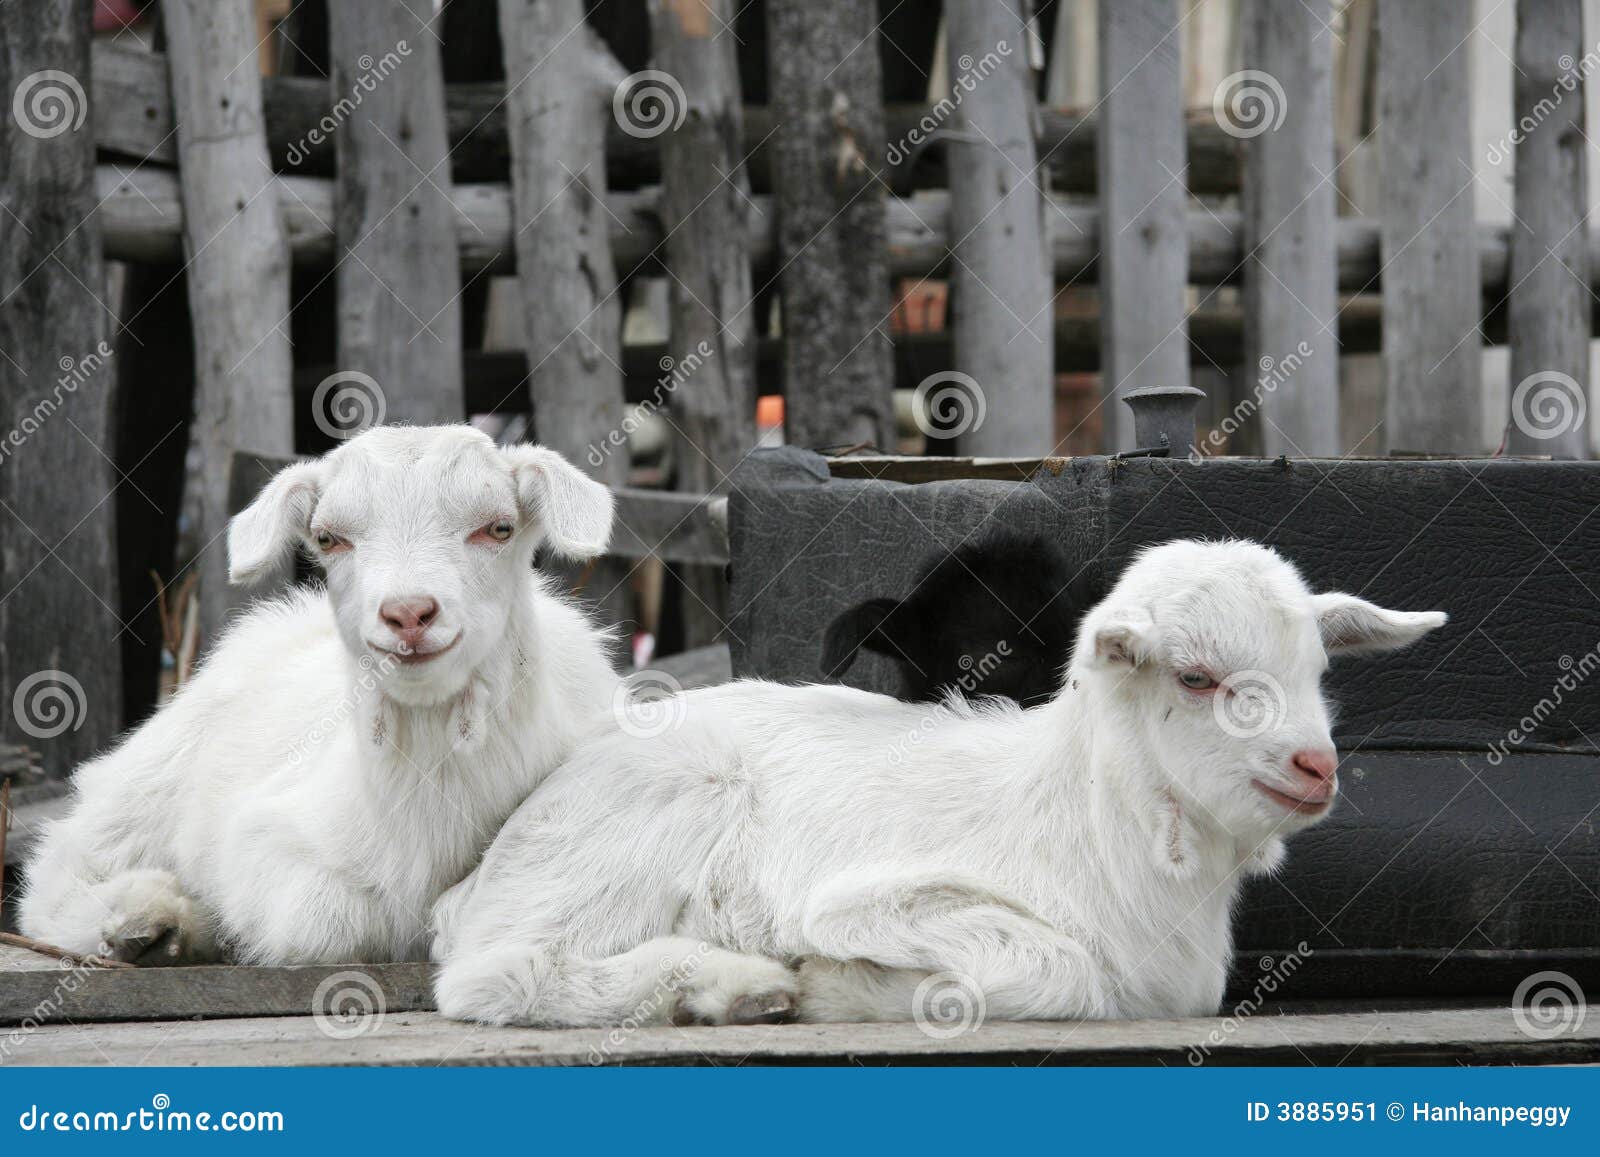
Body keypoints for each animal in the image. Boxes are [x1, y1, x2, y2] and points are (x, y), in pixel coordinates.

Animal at [20, 425, 618, 965]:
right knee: (58, 879)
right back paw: (145, 922)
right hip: (141, 789)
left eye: (499, 528)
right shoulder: (265, 836)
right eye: (330, 538)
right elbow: (322, 919)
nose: (408, 614)